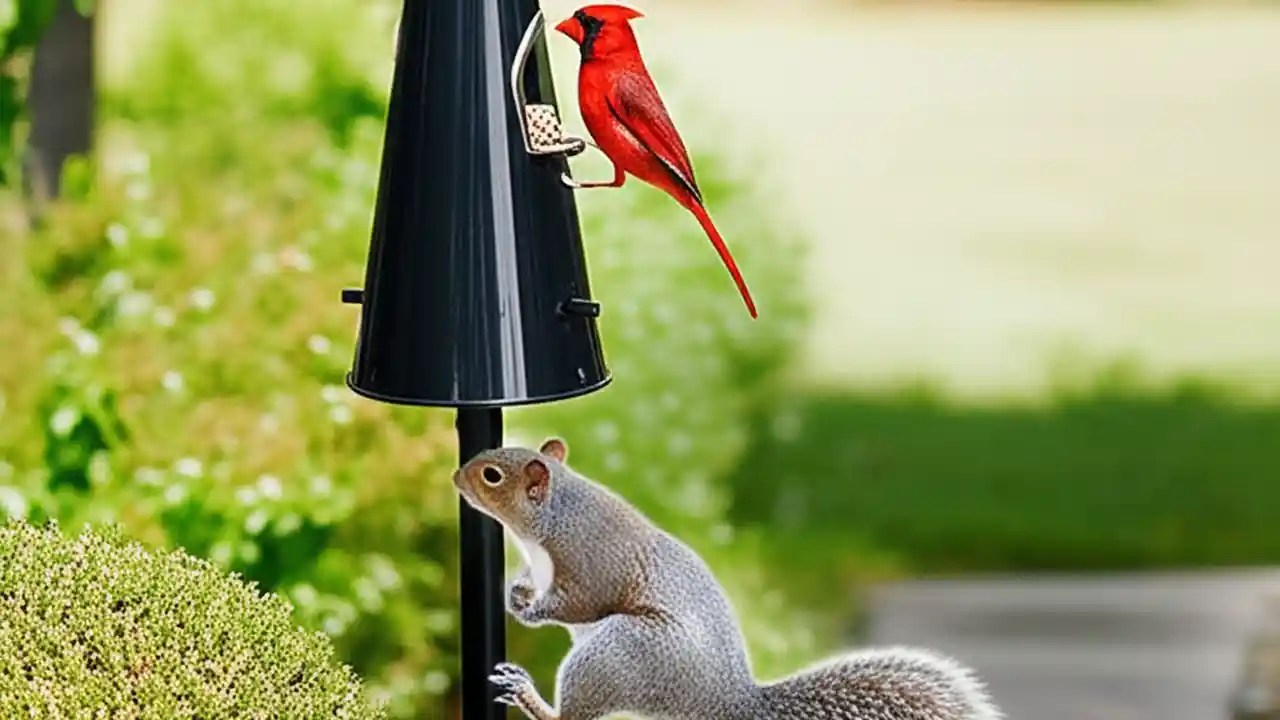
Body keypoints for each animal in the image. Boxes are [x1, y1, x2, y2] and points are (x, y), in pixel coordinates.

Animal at [452, 437, 1003, 720]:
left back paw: (526, 694)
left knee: (570, 719)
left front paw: (532, 610)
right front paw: (517, 591)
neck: (555, 514)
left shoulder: (593, 563)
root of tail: (729, 702)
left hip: (621, 652)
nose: (456, 477)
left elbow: (580, 602)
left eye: (492, 476)